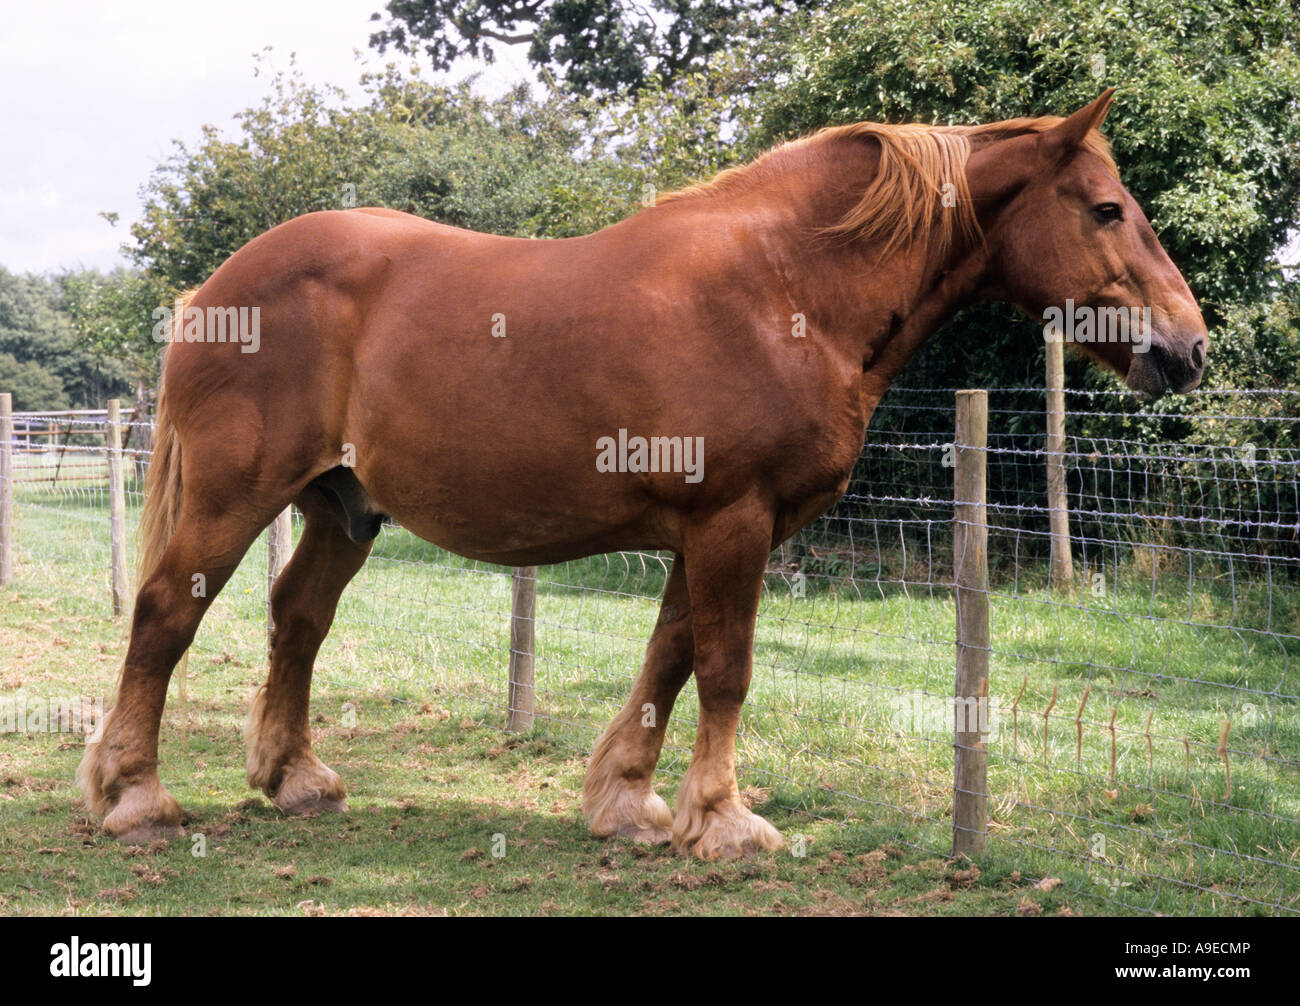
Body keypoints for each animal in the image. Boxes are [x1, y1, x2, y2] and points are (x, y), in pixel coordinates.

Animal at [79, 89, 1207, 859]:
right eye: (1106, 210)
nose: (1189, 348)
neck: (780, 289)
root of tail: (213, 290)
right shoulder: (731, 523)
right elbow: (724, 666)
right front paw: (725, 822)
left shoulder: (712, 530)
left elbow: (670, 656)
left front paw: (628, 801)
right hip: (233, 497)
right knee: (165, 615)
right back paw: (134, 794)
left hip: (342, 510)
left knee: (298, 617)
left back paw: (295, 778)